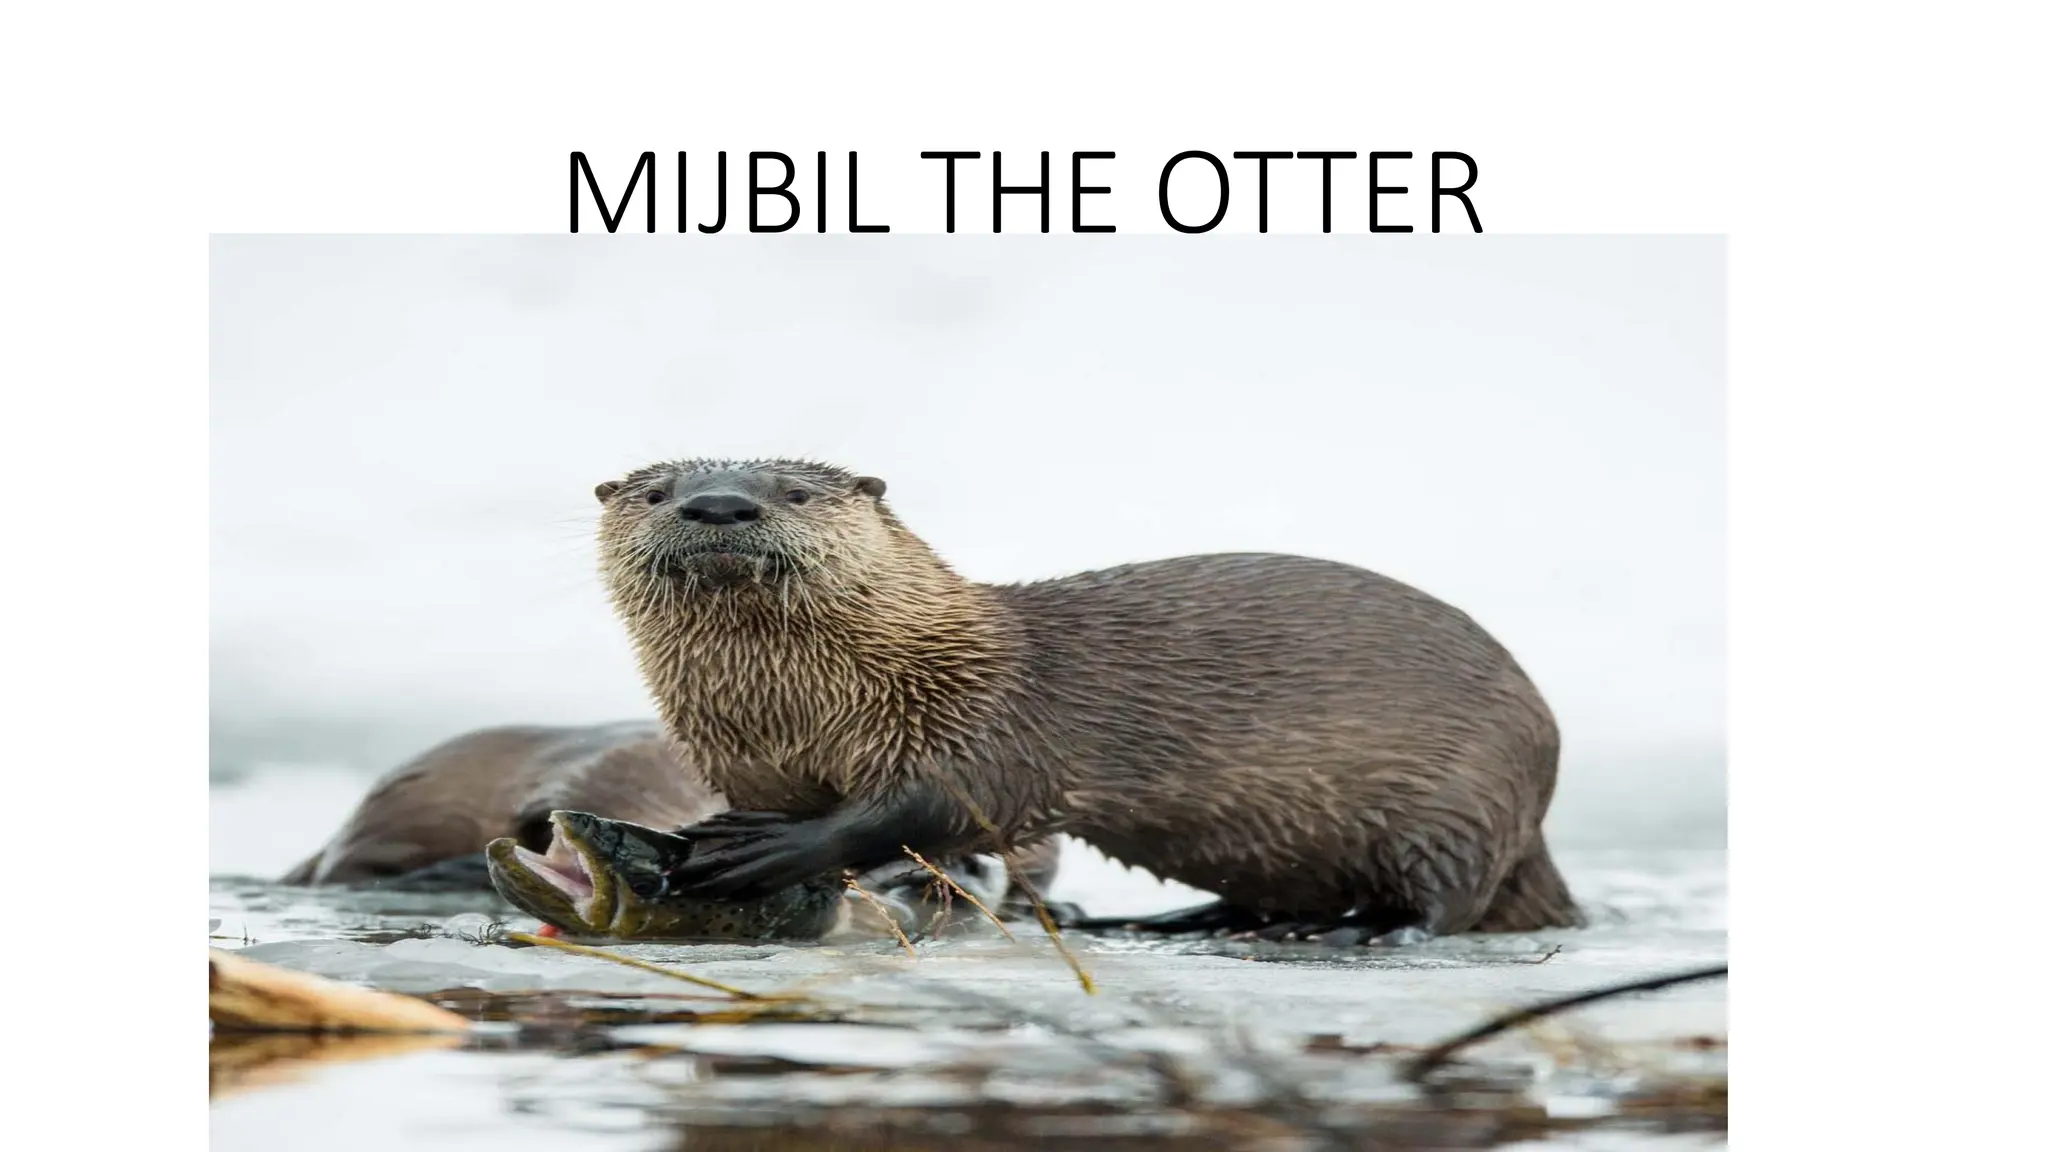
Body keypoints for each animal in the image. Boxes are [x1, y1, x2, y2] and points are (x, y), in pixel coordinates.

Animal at [592, 458, 1582, 944]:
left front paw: (768, 849)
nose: (719, 506)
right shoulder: (743, 756)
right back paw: (1179, 919)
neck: (801, 711)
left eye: (794, 492)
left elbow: (934, 807)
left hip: (1460, 798)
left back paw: (1360, 935)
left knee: (1444, 901)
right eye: (656, 492)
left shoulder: (978, 722)